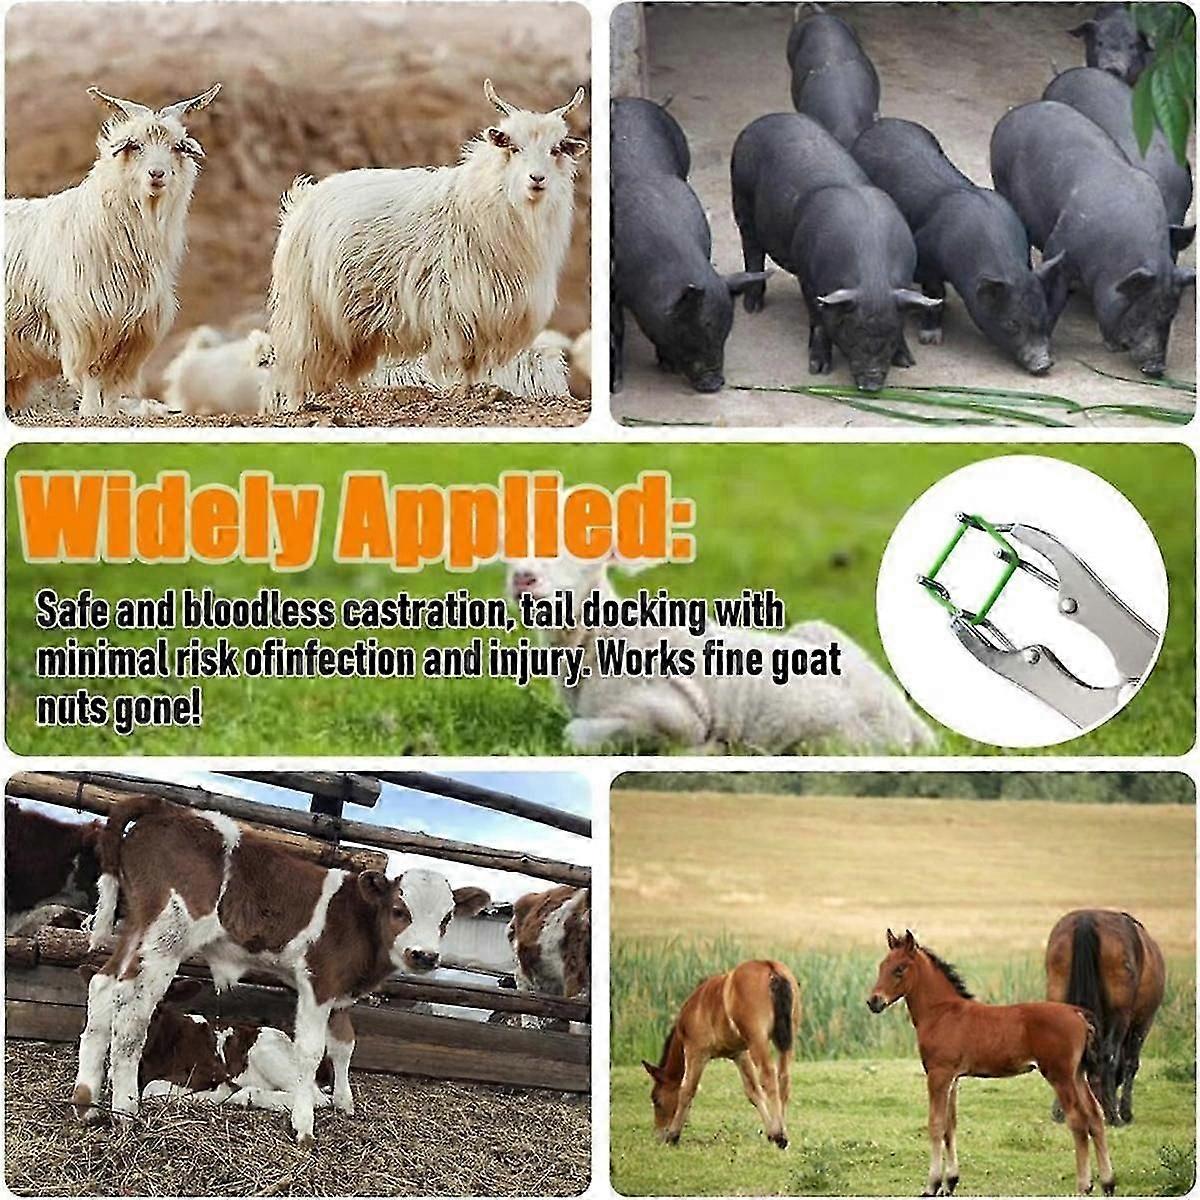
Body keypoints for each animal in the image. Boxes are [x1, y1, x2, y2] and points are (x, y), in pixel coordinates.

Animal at [5, 84, 221, 418]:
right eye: (135, 146)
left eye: (177, 147)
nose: (157, 174)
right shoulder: (88, 323)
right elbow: (93, 375)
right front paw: (91, 411)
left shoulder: (133, 334)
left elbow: (112, 382)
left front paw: (110, 412)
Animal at [267, 79, 587, 409]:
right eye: (512, 146)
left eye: (556, 149)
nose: (537, 179)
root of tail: (303, 198)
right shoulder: (457, 307)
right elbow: (461, 360)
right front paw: (465, 394)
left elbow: (474, 365)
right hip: (306, 316)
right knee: (300, 368)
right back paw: (300, 405)